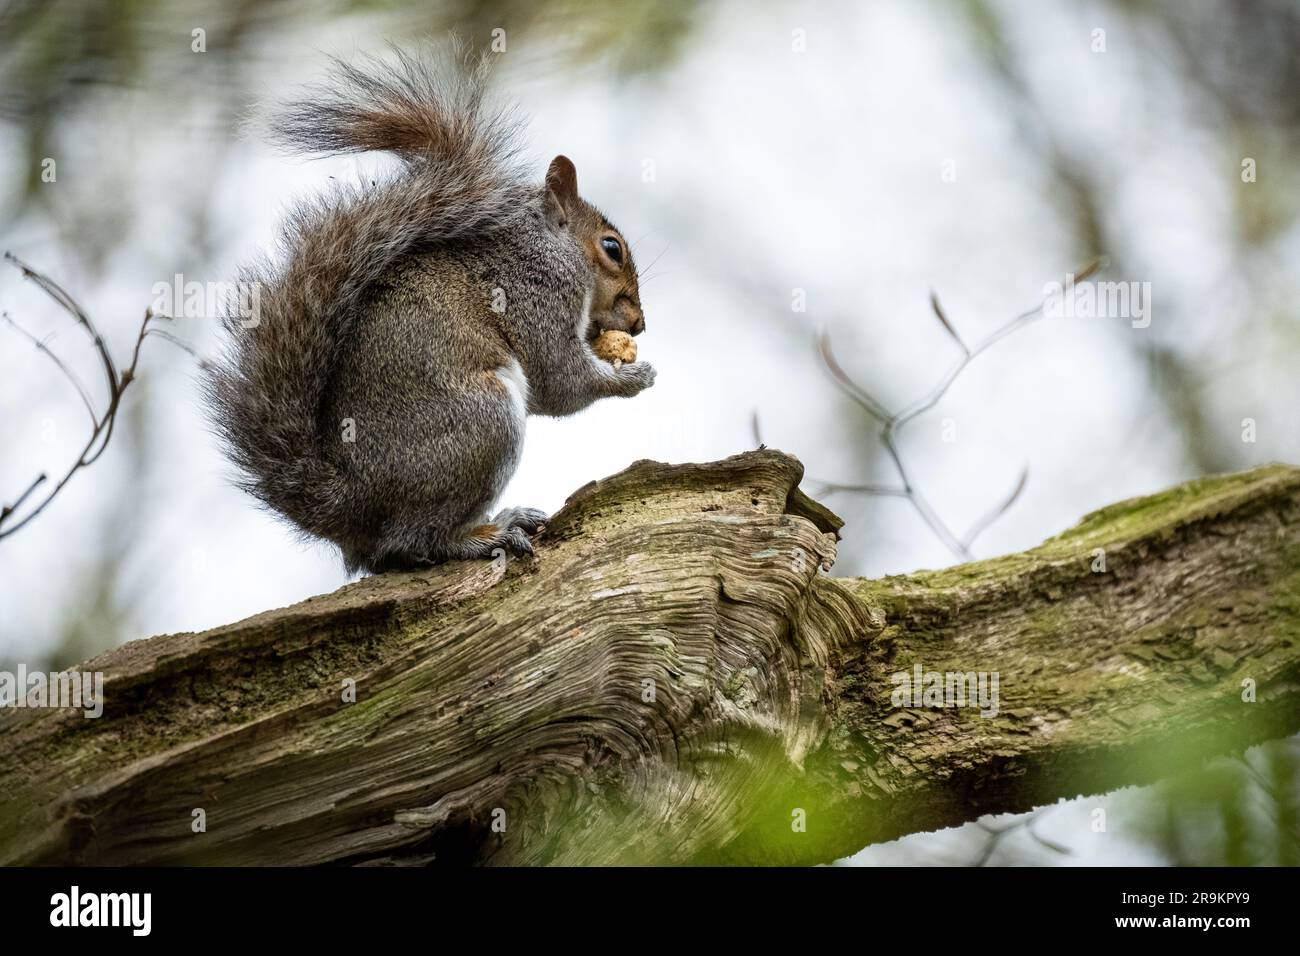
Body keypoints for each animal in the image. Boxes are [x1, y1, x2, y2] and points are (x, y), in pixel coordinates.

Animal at [205, 48, 655, 574]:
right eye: (612, 248)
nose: (641, 323)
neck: (548, 245)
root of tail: (348, 503)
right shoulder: (537, 292)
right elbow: (560, 380)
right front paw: (633, 377)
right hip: (483, 419)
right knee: (415, 541)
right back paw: (487, 534)